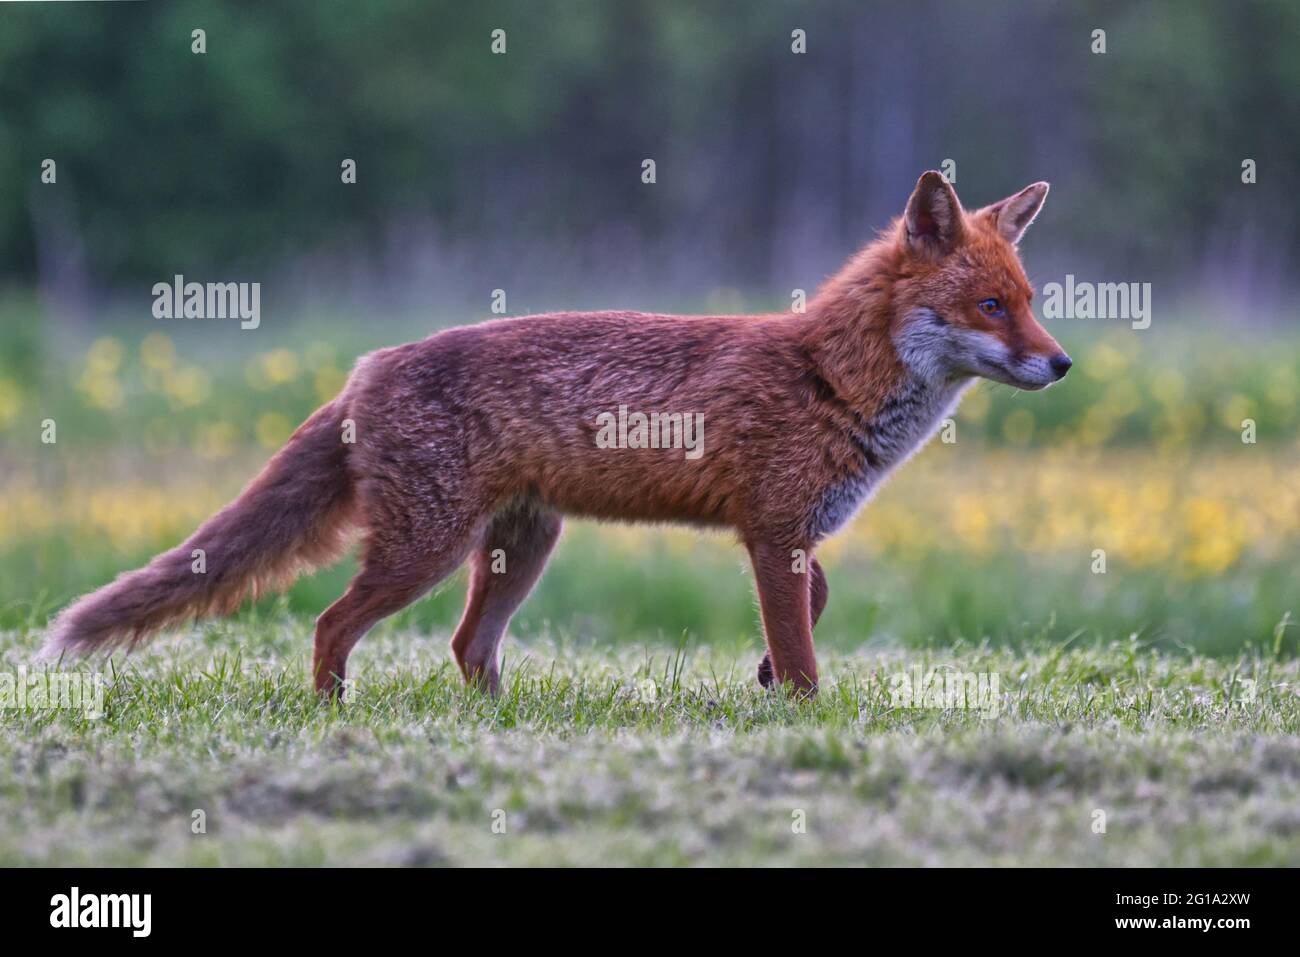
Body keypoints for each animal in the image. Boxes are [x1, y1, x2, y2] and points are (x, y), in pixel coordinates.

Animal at [44, 171, 1070, 697]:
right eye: (990, 306)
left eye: (1031, 301)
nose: (1062, 365)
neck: (829, 376)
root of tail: (369, 365)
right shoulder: (772, 530)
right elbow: (806, 641)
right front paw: (801, 707)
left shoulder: (787, 535)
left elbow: (815, 599)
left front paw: (765, 673)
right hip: (425, 549)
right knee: (334, 623)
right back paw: (333, 715)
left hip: (519, 549)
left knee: (467, 646)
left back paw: (489, 721)